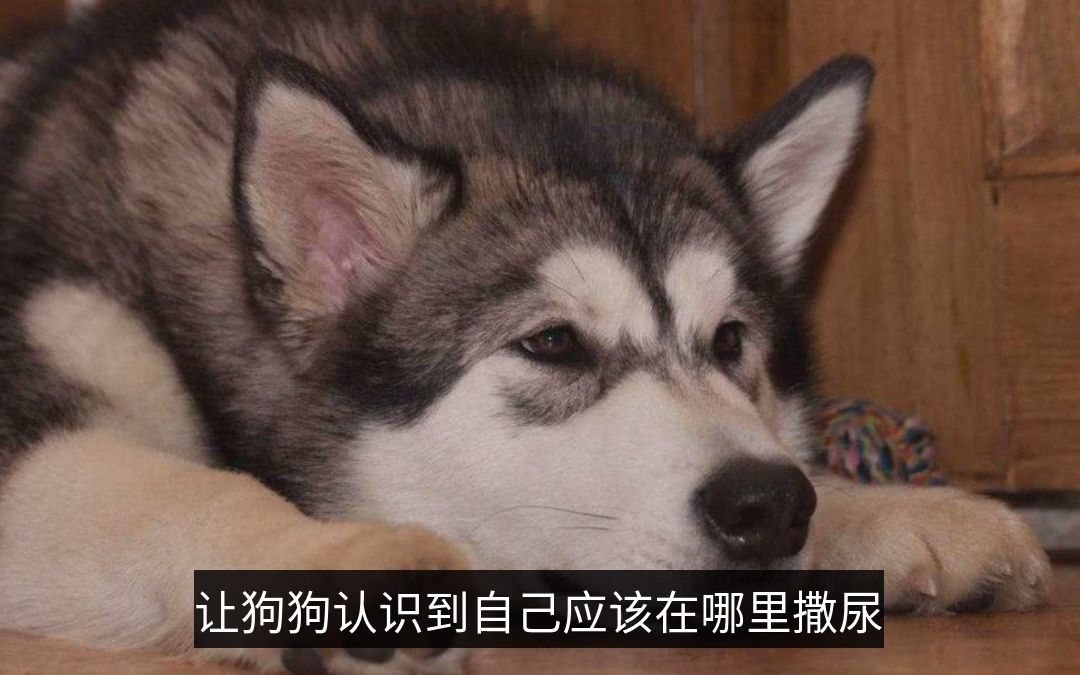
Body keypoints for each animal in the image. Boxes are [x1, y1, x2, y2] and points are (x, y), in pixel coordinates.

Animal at [0, 0, 1052, 673]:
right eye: (553, 344)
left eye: (729, 342)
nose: (767, 505)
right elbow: (194, 489)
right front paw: (338, 560)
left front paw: (881, 509)